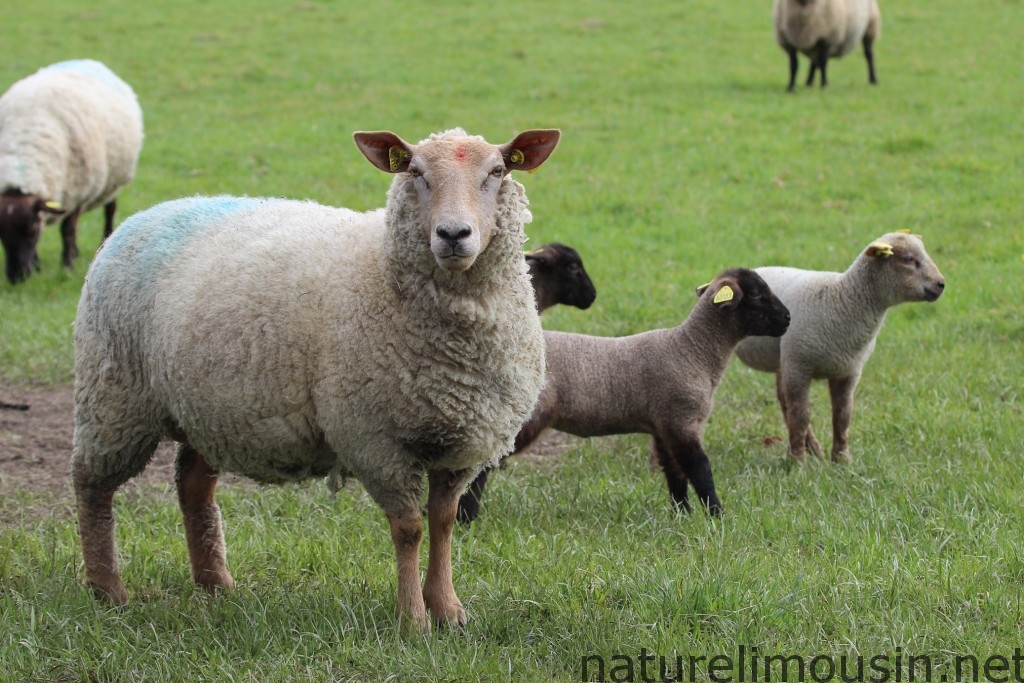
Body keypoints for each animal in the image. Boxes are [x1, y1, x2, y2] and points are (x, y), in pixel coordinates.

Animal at [0, 59, 143, 283]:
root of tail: (86, 60)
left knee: (109, 211)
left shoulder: (78, 192)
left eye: (31, 231)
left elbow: (67, 230)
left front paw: (66, 266)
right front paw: (38, 266)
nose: (16, 278)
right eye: (0, 232)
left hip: (113, 182)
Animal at [71, 127, 560, 633]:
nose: (453, 235)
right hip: (114, 396)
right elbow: (409, 529)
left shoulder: (462, 444)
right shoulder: (374, 440)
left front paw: (448, 610)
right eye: (415, 171)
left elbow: (442, 524)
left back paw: (215, 584)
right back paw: (107, 589)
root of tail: (139, 218)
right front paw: (412, 620)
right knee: (92, 485)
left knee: (192, 486)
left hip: (208, 409)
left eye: (497, 171)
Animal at [457, 268, 791, 523]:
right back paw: (466, 519)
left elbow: (675, 475)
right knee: (480, 465)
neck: (692, 350)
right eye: (757, 295)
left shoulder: (663, 426)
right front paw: (717, 516)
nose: (788, 319)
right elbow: (700, 469)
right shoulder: (681, 419)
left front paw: (682, 516)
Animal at [734, 232, 944, 463]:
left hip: (783, 359)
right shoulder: (799, 368)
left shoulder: (848, 371)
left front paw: (842, 459)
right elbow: (800, 415)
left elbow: (842, 416)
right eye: (908, 259)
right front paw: (798, 462)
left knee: (783, 401)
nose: (941, 284)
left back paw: (815, 449)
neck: (841, 301)